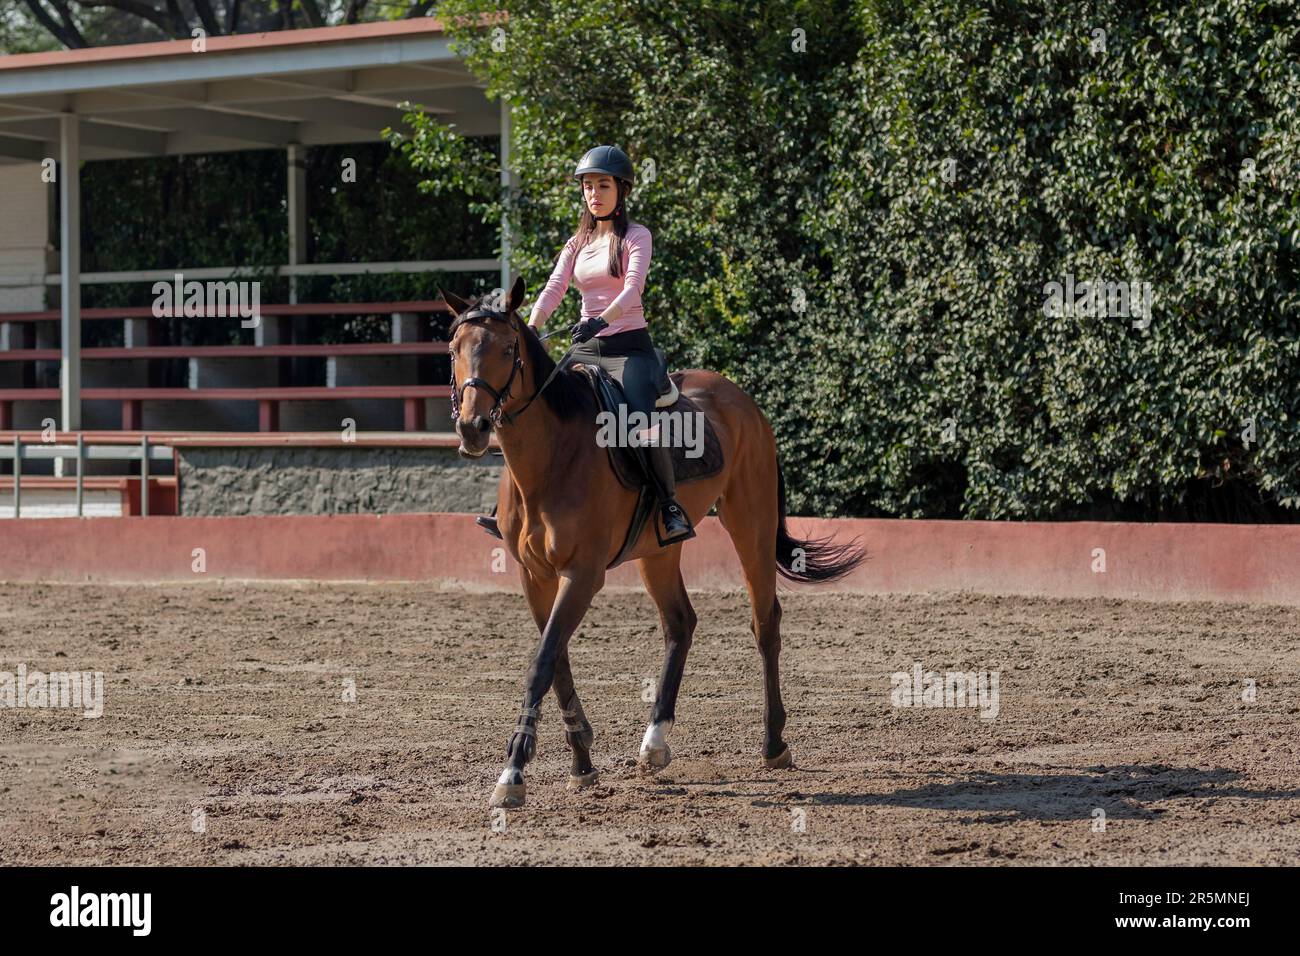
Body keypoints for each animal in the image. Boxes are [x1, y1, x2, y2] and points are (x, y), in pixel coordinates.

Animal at [443, 276, 865, 808]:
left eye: (506, 348)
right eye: (454, 349)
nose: (472, 428)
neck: (552, 458)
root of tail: (739, 397)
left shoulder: (582, 575)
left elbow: (541, 663)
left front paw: (514, 772)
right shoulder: (534, 577)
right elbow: (557, 662)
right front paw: (582, 761)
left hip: (751, 522)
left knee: (764, 622)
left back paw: (774, 743)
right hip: (659, 551)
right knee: (680, 623)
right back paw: (655, 742)